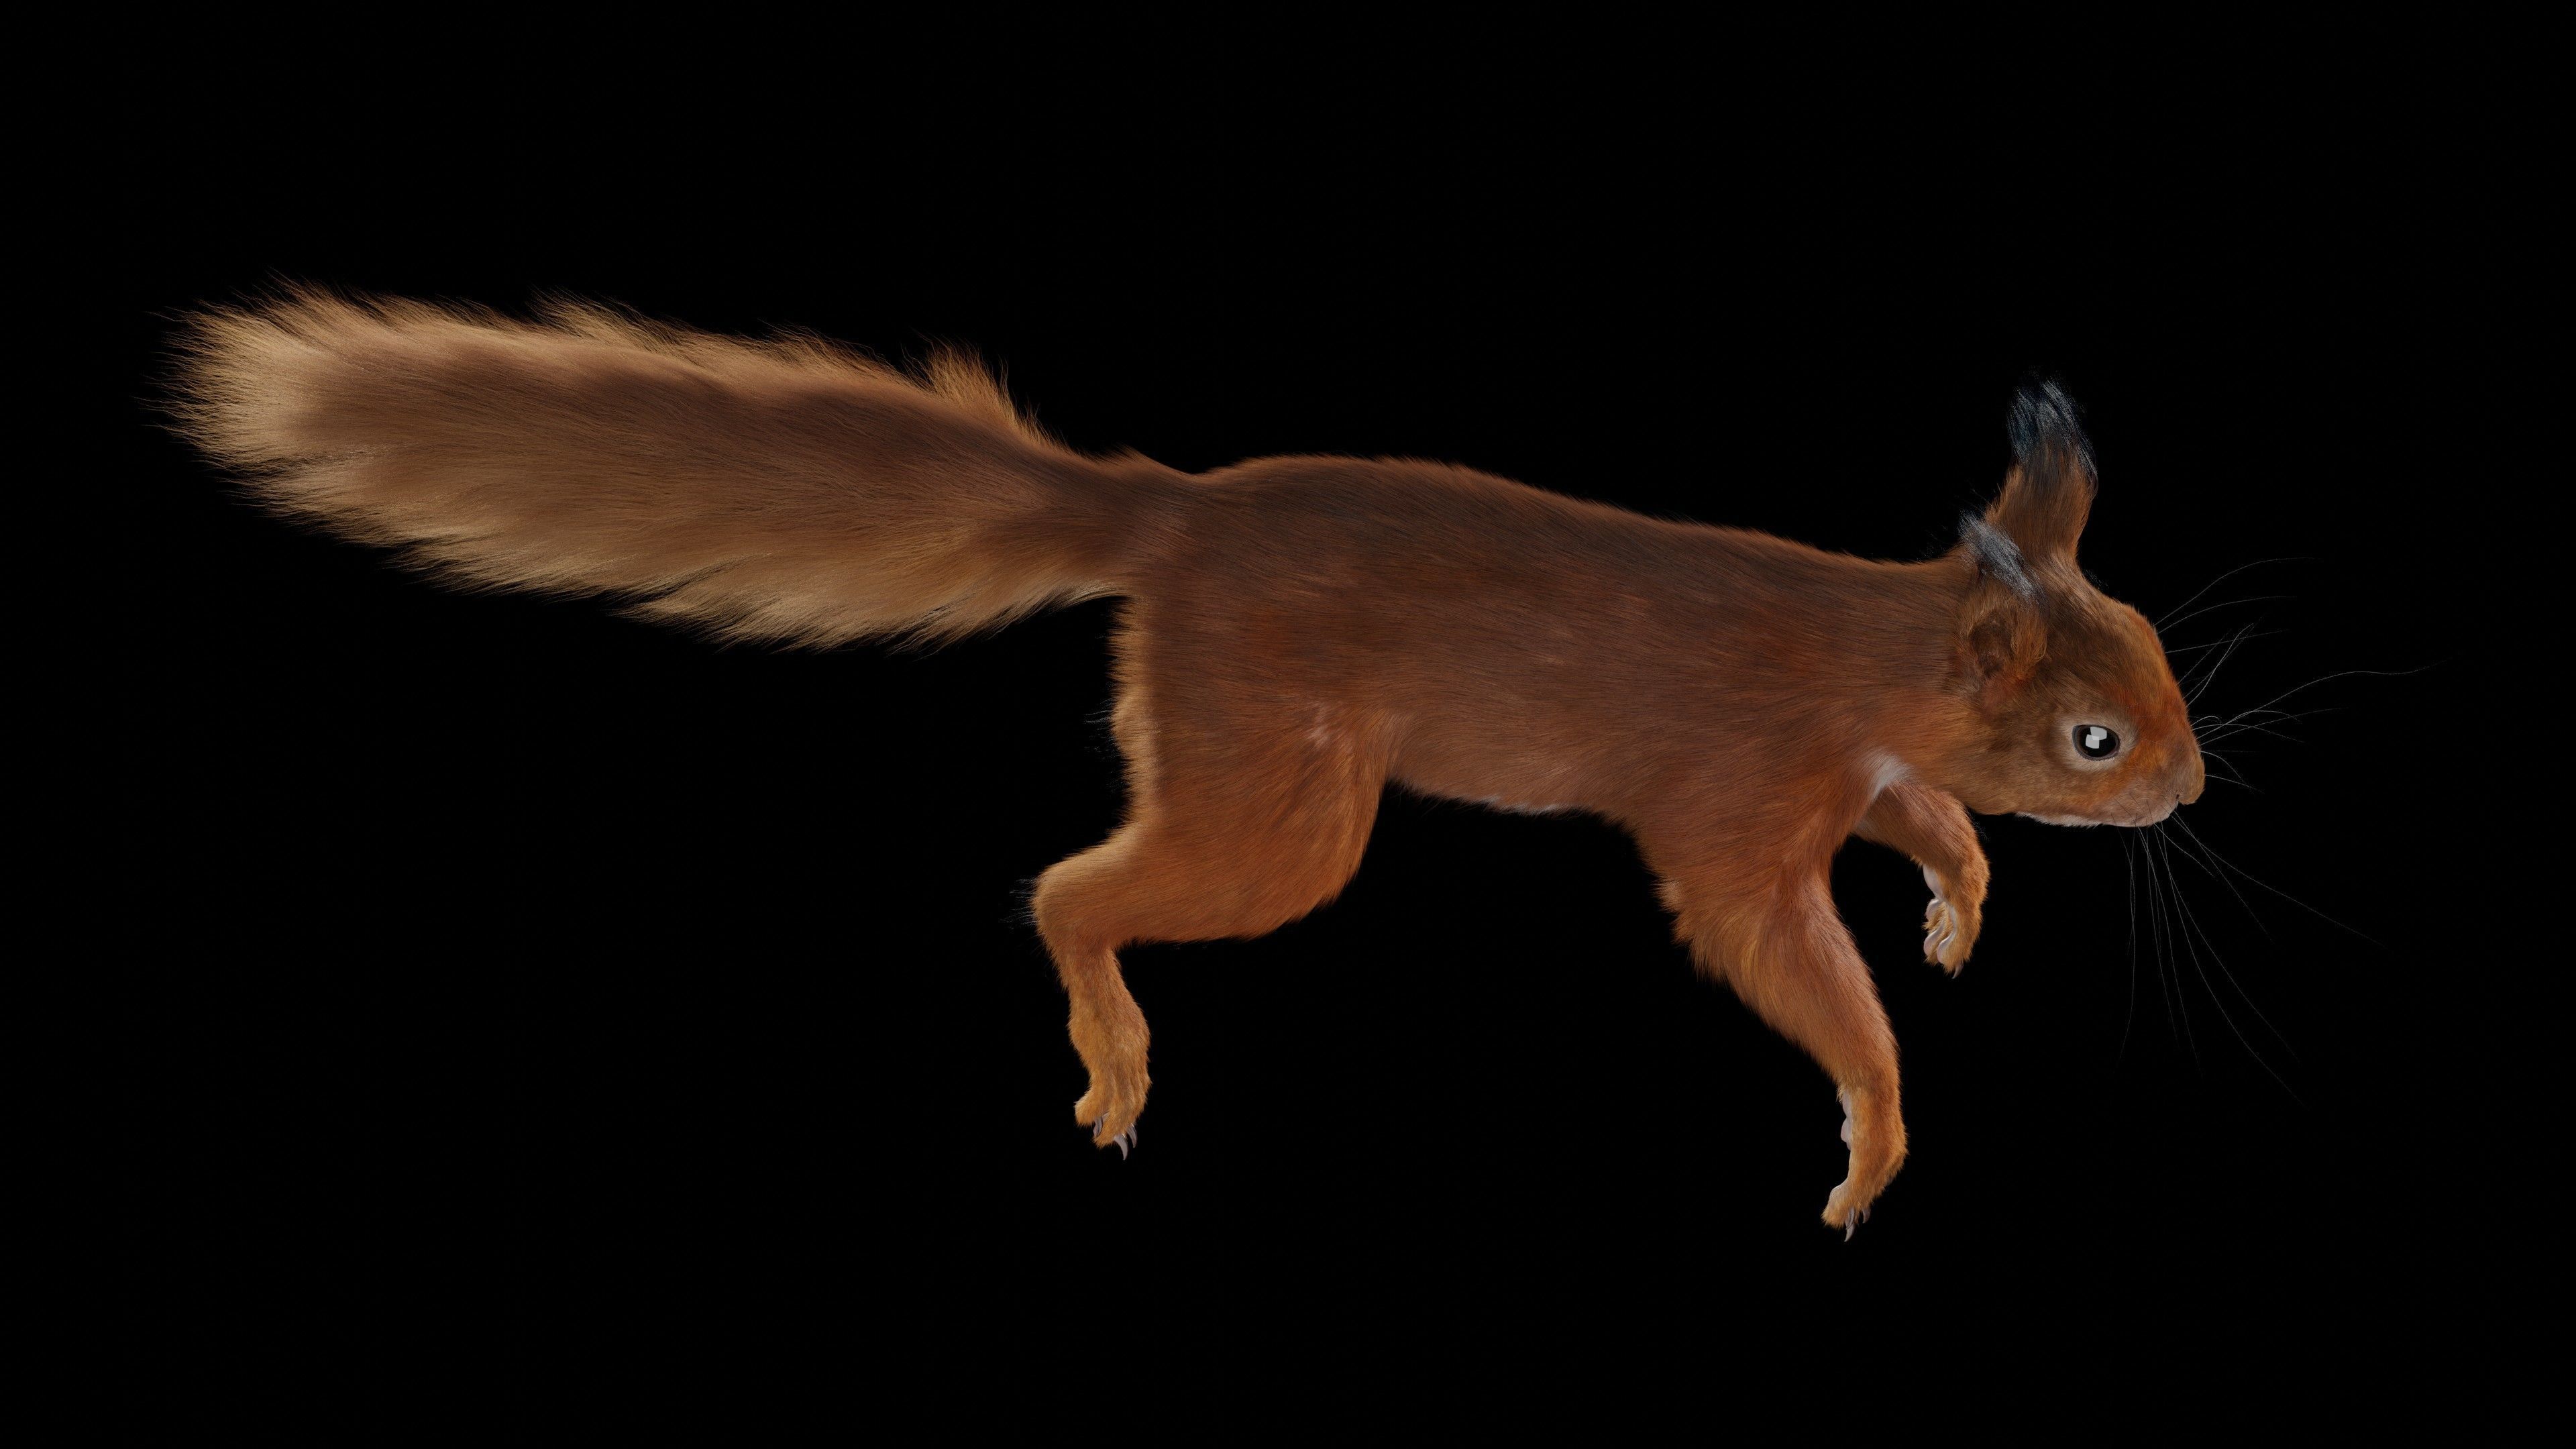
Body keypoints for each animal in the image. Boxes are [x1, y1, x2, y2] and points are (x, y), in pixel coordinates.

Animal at [172, 290, 2205, 1236]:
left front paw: (1957, 908)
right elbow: (1784, 953)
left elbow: (1929, 817)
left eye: (2162, 668)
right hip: (1282, 796)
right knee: (1071, 894)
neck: (1875, 643)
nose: (2189, 790)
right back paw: (1115, 1056)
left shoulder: (1853, 775)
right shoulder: (1736, 802)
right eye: (2096, 736)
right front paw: (1873, 1134)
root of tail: (1169, 520)